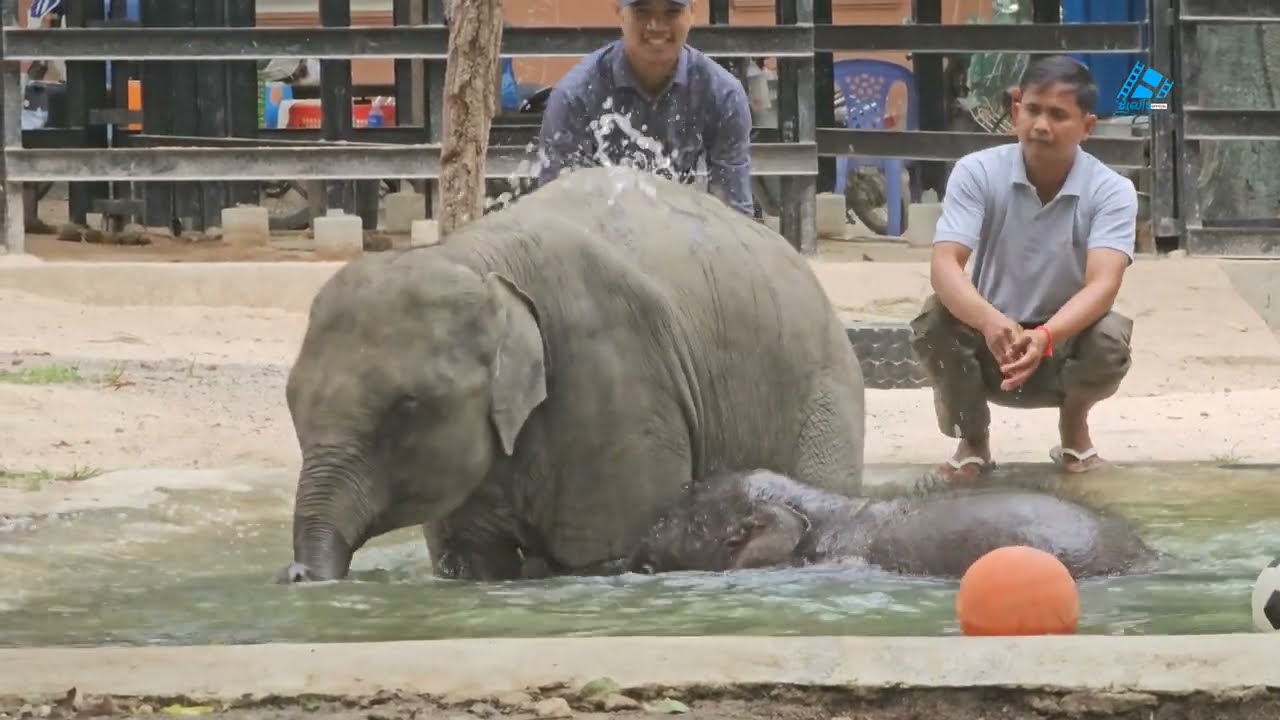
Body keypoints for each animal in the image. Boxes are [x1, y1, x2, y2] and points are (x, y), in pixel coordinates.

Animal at [279, 165, 867, 583]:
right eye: (290, 401)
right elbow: (474, 563)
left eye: (407, 407)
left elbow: (600, 554)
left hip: (825, 402)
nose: (296, 576)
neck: (474, 258)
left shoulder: (615, 377)